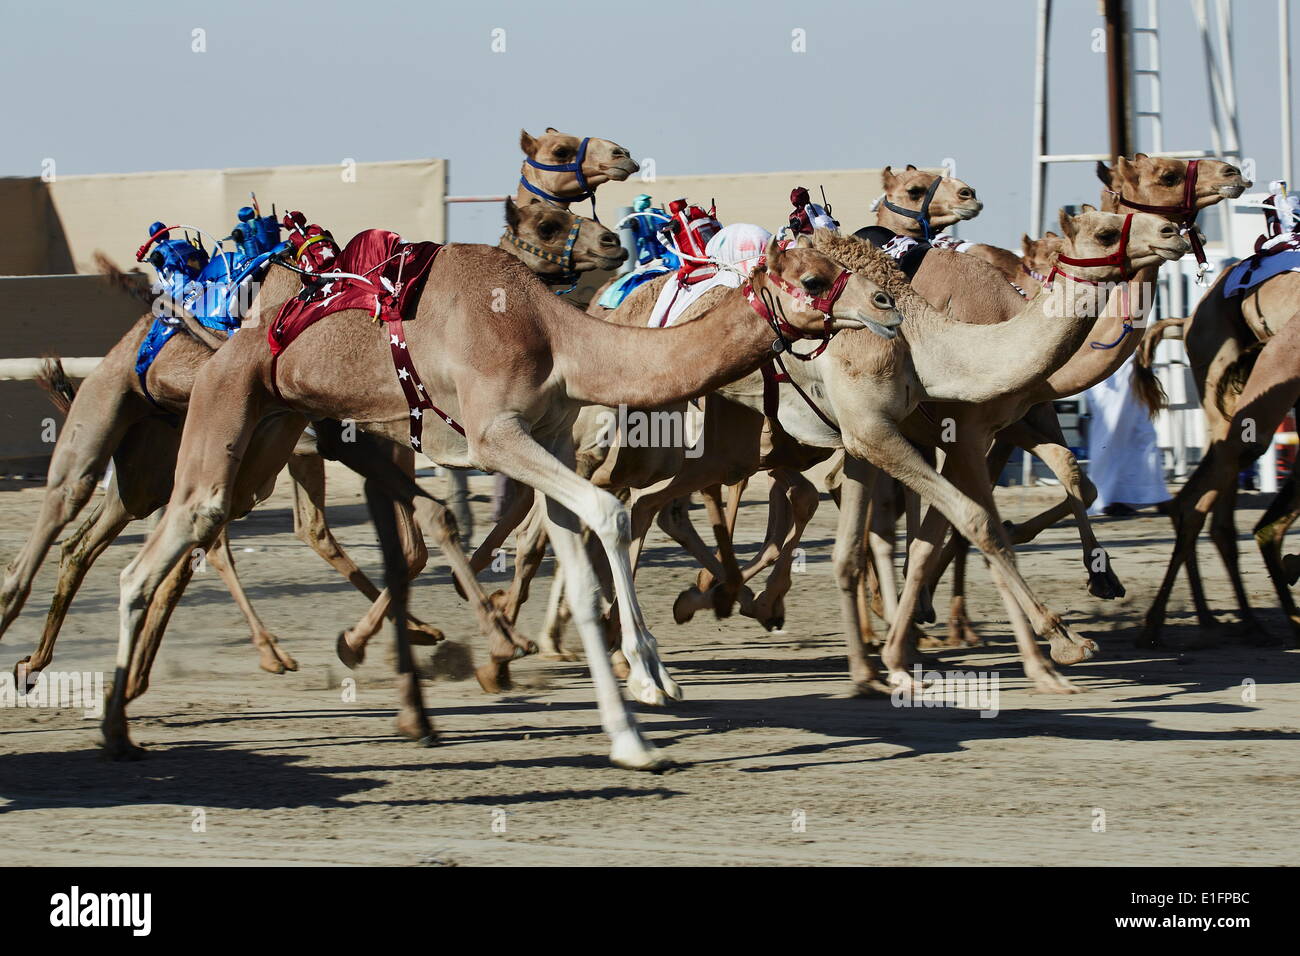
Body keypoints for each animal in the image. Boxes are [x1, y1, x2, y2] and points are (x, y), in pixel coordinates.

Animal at [0, 196, 621, 688]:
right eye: (548, 223)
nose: (613, 240)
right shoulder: (354, 438)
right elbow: (424, 534)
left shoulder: (386, 441)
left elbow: (430, 533)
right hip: (125, 424)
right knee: (86, 506)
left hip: (159, 463)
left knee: (105, 540)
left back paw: (52, 663)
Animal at [101, 234, 899, 770]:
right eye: (815, 276)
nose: (889, 307)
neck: (555, 334)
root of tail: (225, 346)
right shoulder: (494, 432)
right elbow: (609, 514)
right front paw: (647, 688)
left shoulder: (548, 438)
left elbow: (577, 557)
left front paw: (633, 727)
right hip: (227, 411)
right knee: (164, 544)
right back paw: (119, 725)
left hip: (275, 429)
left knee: (186, 538)